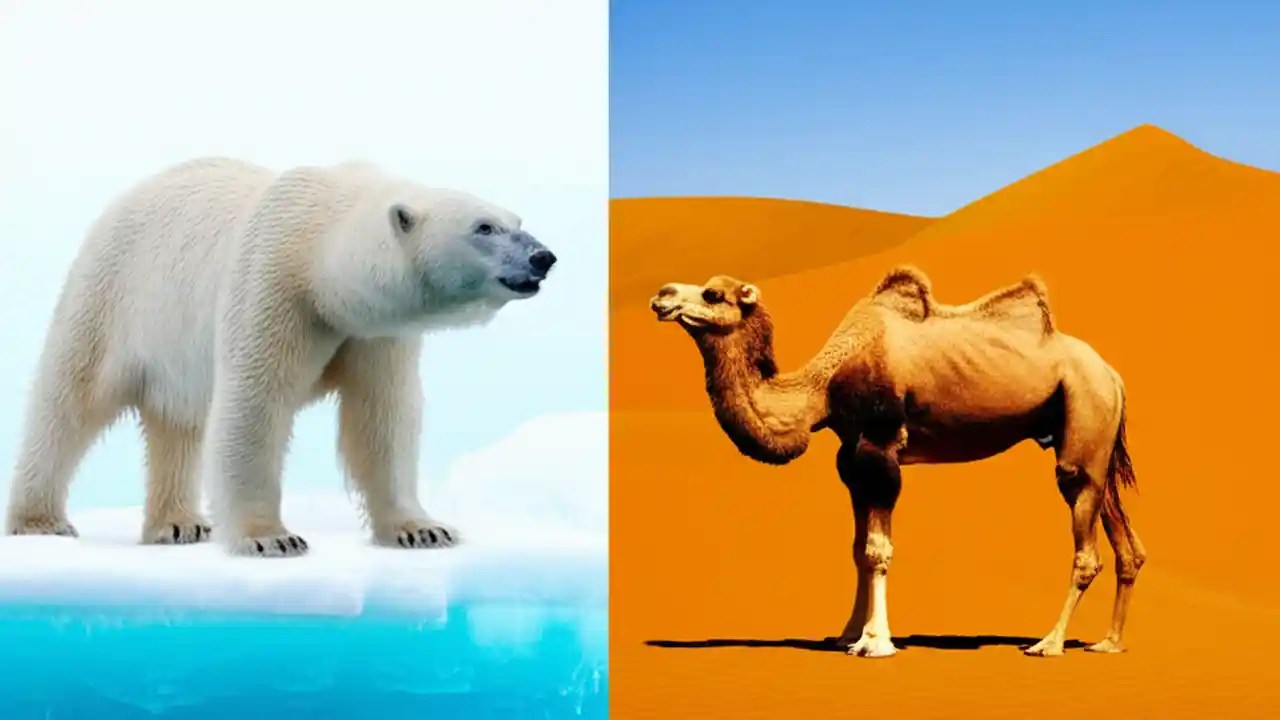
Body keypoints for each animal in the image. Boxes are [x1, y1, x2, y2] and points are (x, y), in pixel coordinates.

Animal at [4, 157, 556, 557]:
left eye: (517, 220)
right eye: (484, 228)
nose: (543, 257)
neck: (318, 241)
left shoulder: (375, 331)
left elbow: (383, 419)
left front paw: (423, 529)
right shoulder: (272, 283)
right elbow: (254, 406)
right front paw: (271, 537)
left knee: (177, 422)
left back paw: (179, 524)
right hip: (115, 292)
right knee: (70, 398)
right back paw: (40, 521)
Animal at [649, 266, 1145, 658]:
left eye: (713, 294)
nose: (662, 295)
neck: (825, 387)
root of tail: (1114, 374)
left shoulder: (881, 447)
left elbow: (878, 550)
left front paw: (875, 642)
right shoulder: (850, 460)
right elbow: (856, 549)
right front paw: (846, 634)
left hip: (1085, 411)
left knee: (1085, 541)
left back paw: (1049, 643)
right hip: (1092, 443)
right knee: (1123, 537)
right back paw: (1108, 642)